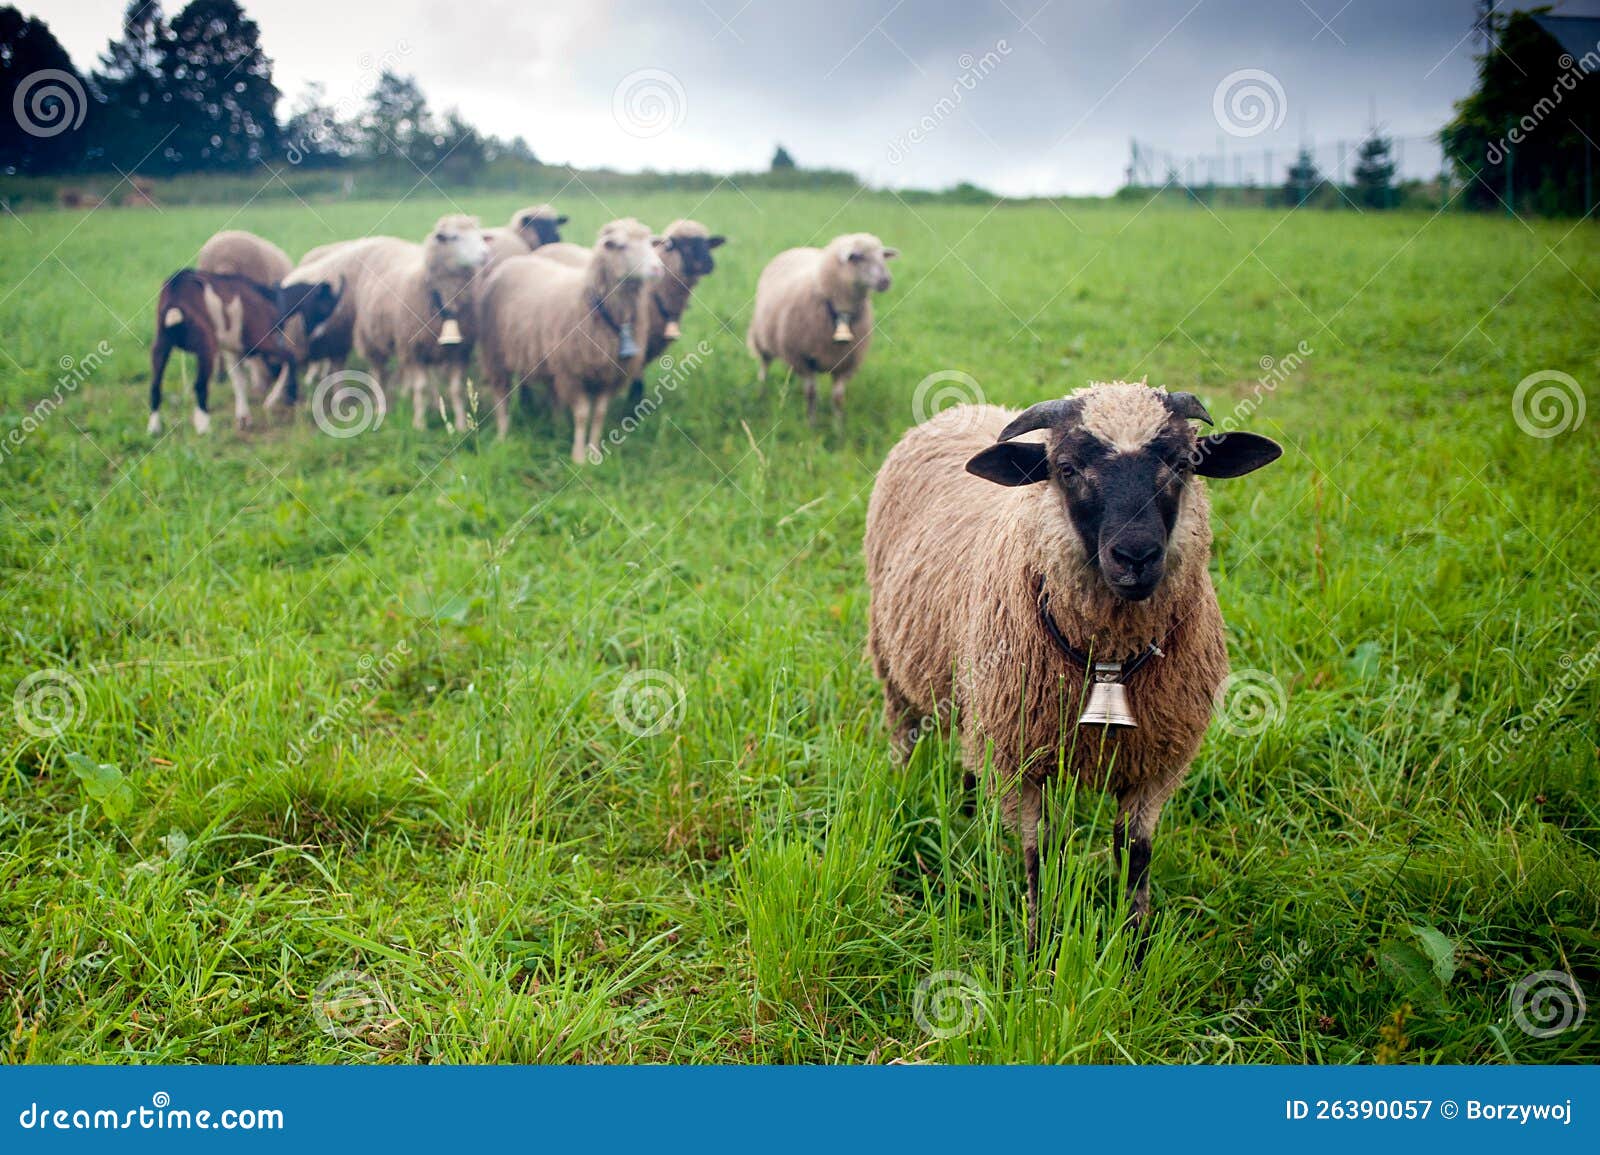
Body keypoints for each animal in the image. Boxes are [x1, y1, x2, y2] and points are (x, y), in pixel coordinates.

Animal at [148, 270, 342, 434]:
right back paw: (203, 426)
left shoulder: (234, 351)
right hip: (206, 345)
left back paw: (154, 428)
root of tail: (176, 289)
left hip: (161, 342)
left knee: (156, 383)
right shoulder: (262, 340)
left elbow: (239, 382)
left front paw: (243, 418)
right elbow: (290, 358)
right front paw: (282, 398)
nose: (319, 335)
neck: (272, 300)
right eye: (325, 307)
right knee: (200, 384)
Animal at [345, 216, 488, 430]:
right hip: (371, 338)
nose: (485, 254)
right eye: (454, 237)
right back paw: (382, 408)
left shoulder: (459, 351)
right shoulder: (414, 349)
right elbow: (420, 388)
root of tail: (387, 240)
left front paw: (461, 424)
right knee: (379, 374)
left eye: (479, 234)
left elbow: (456, 389)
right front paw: (419, 424)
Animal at [477, 217, 664, 461]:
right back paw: (503, 434)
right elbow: (583, 414)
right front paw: (578, 457)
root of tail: (512, 261)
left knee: (551, 393)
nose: (658, 268)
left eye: (651, 243)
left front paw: (594, 451)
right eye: (622, 246)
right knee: (502, 395)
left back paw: (557, 427)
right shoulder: (572, 371)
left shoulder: (608, 372)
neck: (593, 303)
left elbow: (599, 414)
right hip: (495, 351)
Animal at [746, 232, 896, 424]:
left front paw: (839, 427)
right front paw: (812, 424)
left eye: (882, 256)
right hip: (762, 338)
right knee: (764, 366)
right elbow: (811, 393)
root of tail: (797, 249)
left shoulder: (846, 363)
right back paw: (761, 393)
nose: (885, 281)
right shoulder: (803, 359)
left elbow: (838, 398)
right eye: (856, 257)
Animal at [864, 383, 1282, 953]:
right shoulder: (1020, 755)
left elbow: (1134, 854)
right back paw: (906, 790)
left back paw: (970, 815)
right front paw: (1039, 948)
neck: (1110, 660)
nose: (1136, 556)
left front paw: (1134, 948)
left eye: (1182, 464)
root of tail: (957, 410)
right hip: (894, 663)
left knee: (970, 758)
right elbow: (1039, 853)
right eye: (1066, 469)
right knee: (904, 736)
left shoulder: (1156, 762)